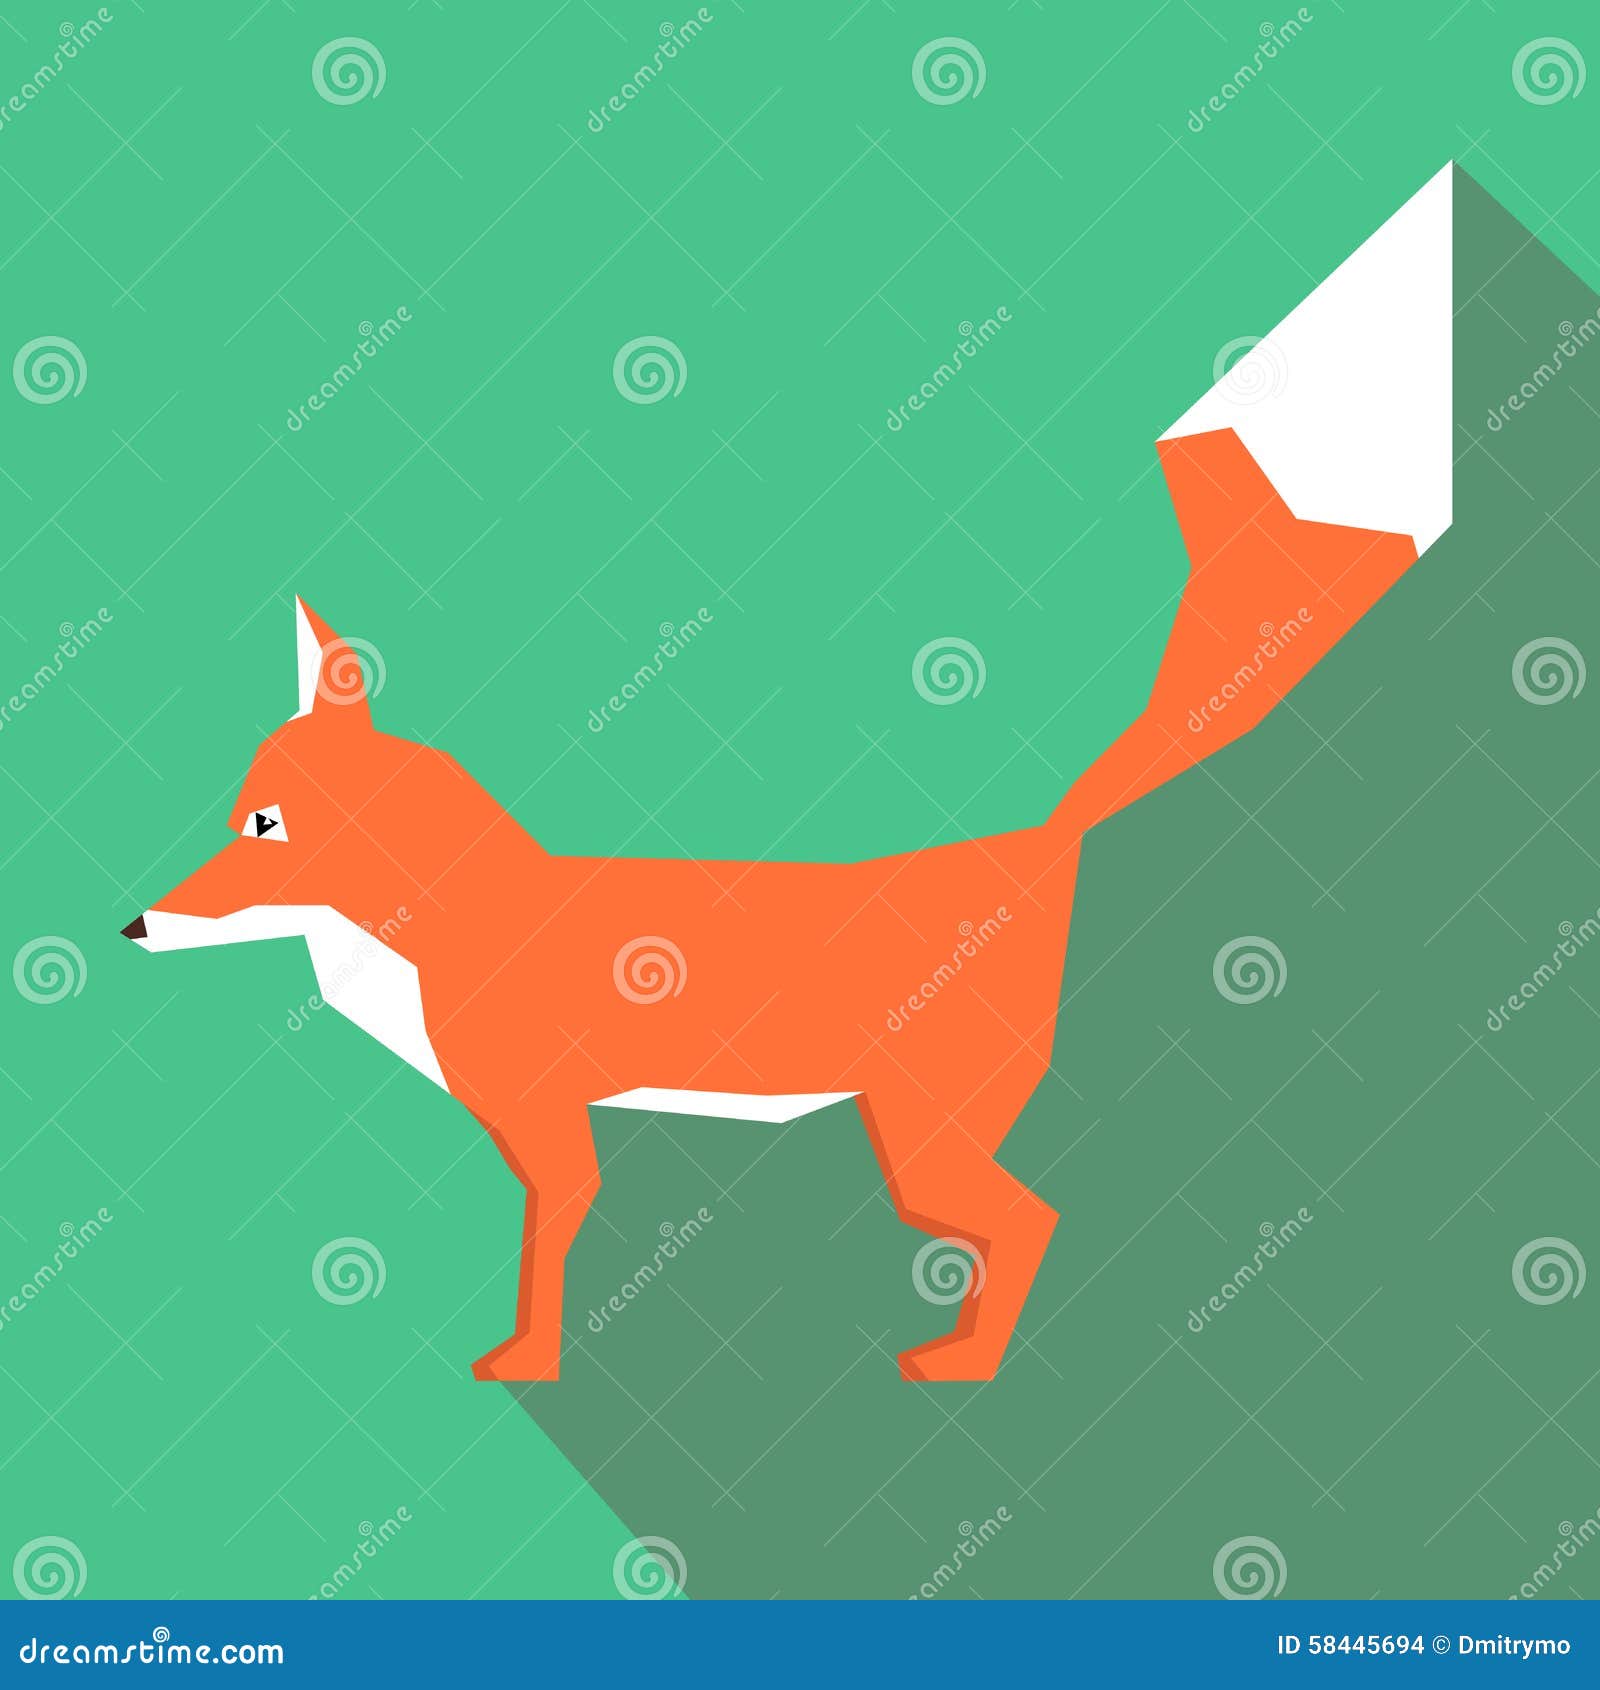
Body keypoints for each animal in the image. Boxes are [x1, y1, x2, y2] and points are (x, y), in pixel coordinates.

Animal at [123, 430, 1425, 1382]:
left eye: (261, 826)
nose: (132, 926)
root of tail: (1036, 838)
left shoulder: (550, 1134)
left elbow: (546, 1258)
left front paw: (531, 1361)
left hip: (923, 1143)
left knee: (1033, 1220)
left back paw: (966, 1369)